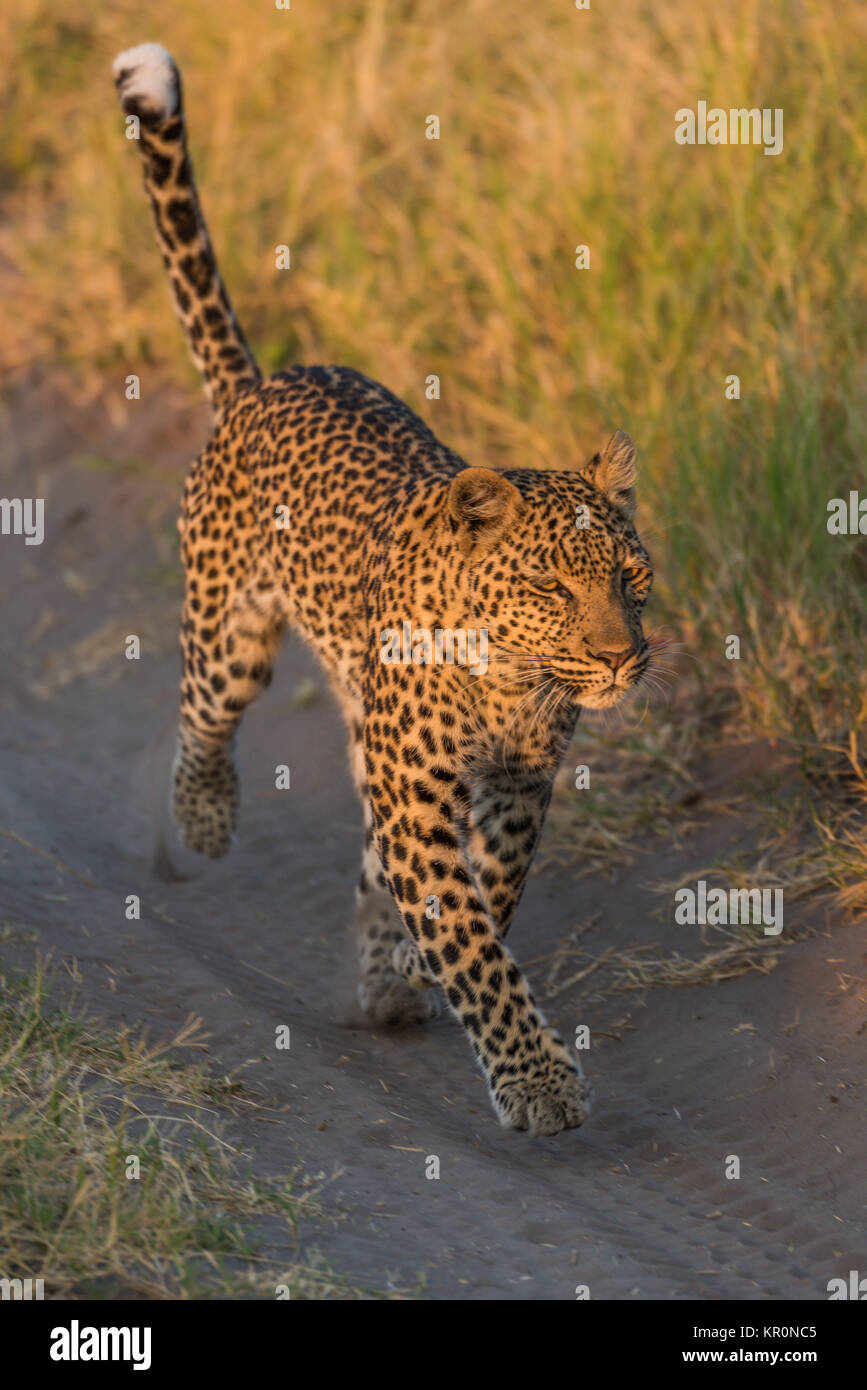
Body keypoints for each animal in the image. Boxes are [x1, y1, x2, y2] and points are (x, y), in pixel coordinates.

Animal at [113, 42, 655, 1137]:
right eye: (553, 584)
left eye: (628, 578)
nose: (622, 656)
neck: (508, 679)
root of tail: (264, 383)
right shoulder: (420, 795)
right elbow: (477, 945)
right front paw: (535, 1080)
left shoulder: (517, 790)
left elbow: (490, 896)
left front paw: (407, 961)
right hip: (231, 630)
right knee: (202, 711)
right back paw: (202, 813)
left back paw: (382, 971)